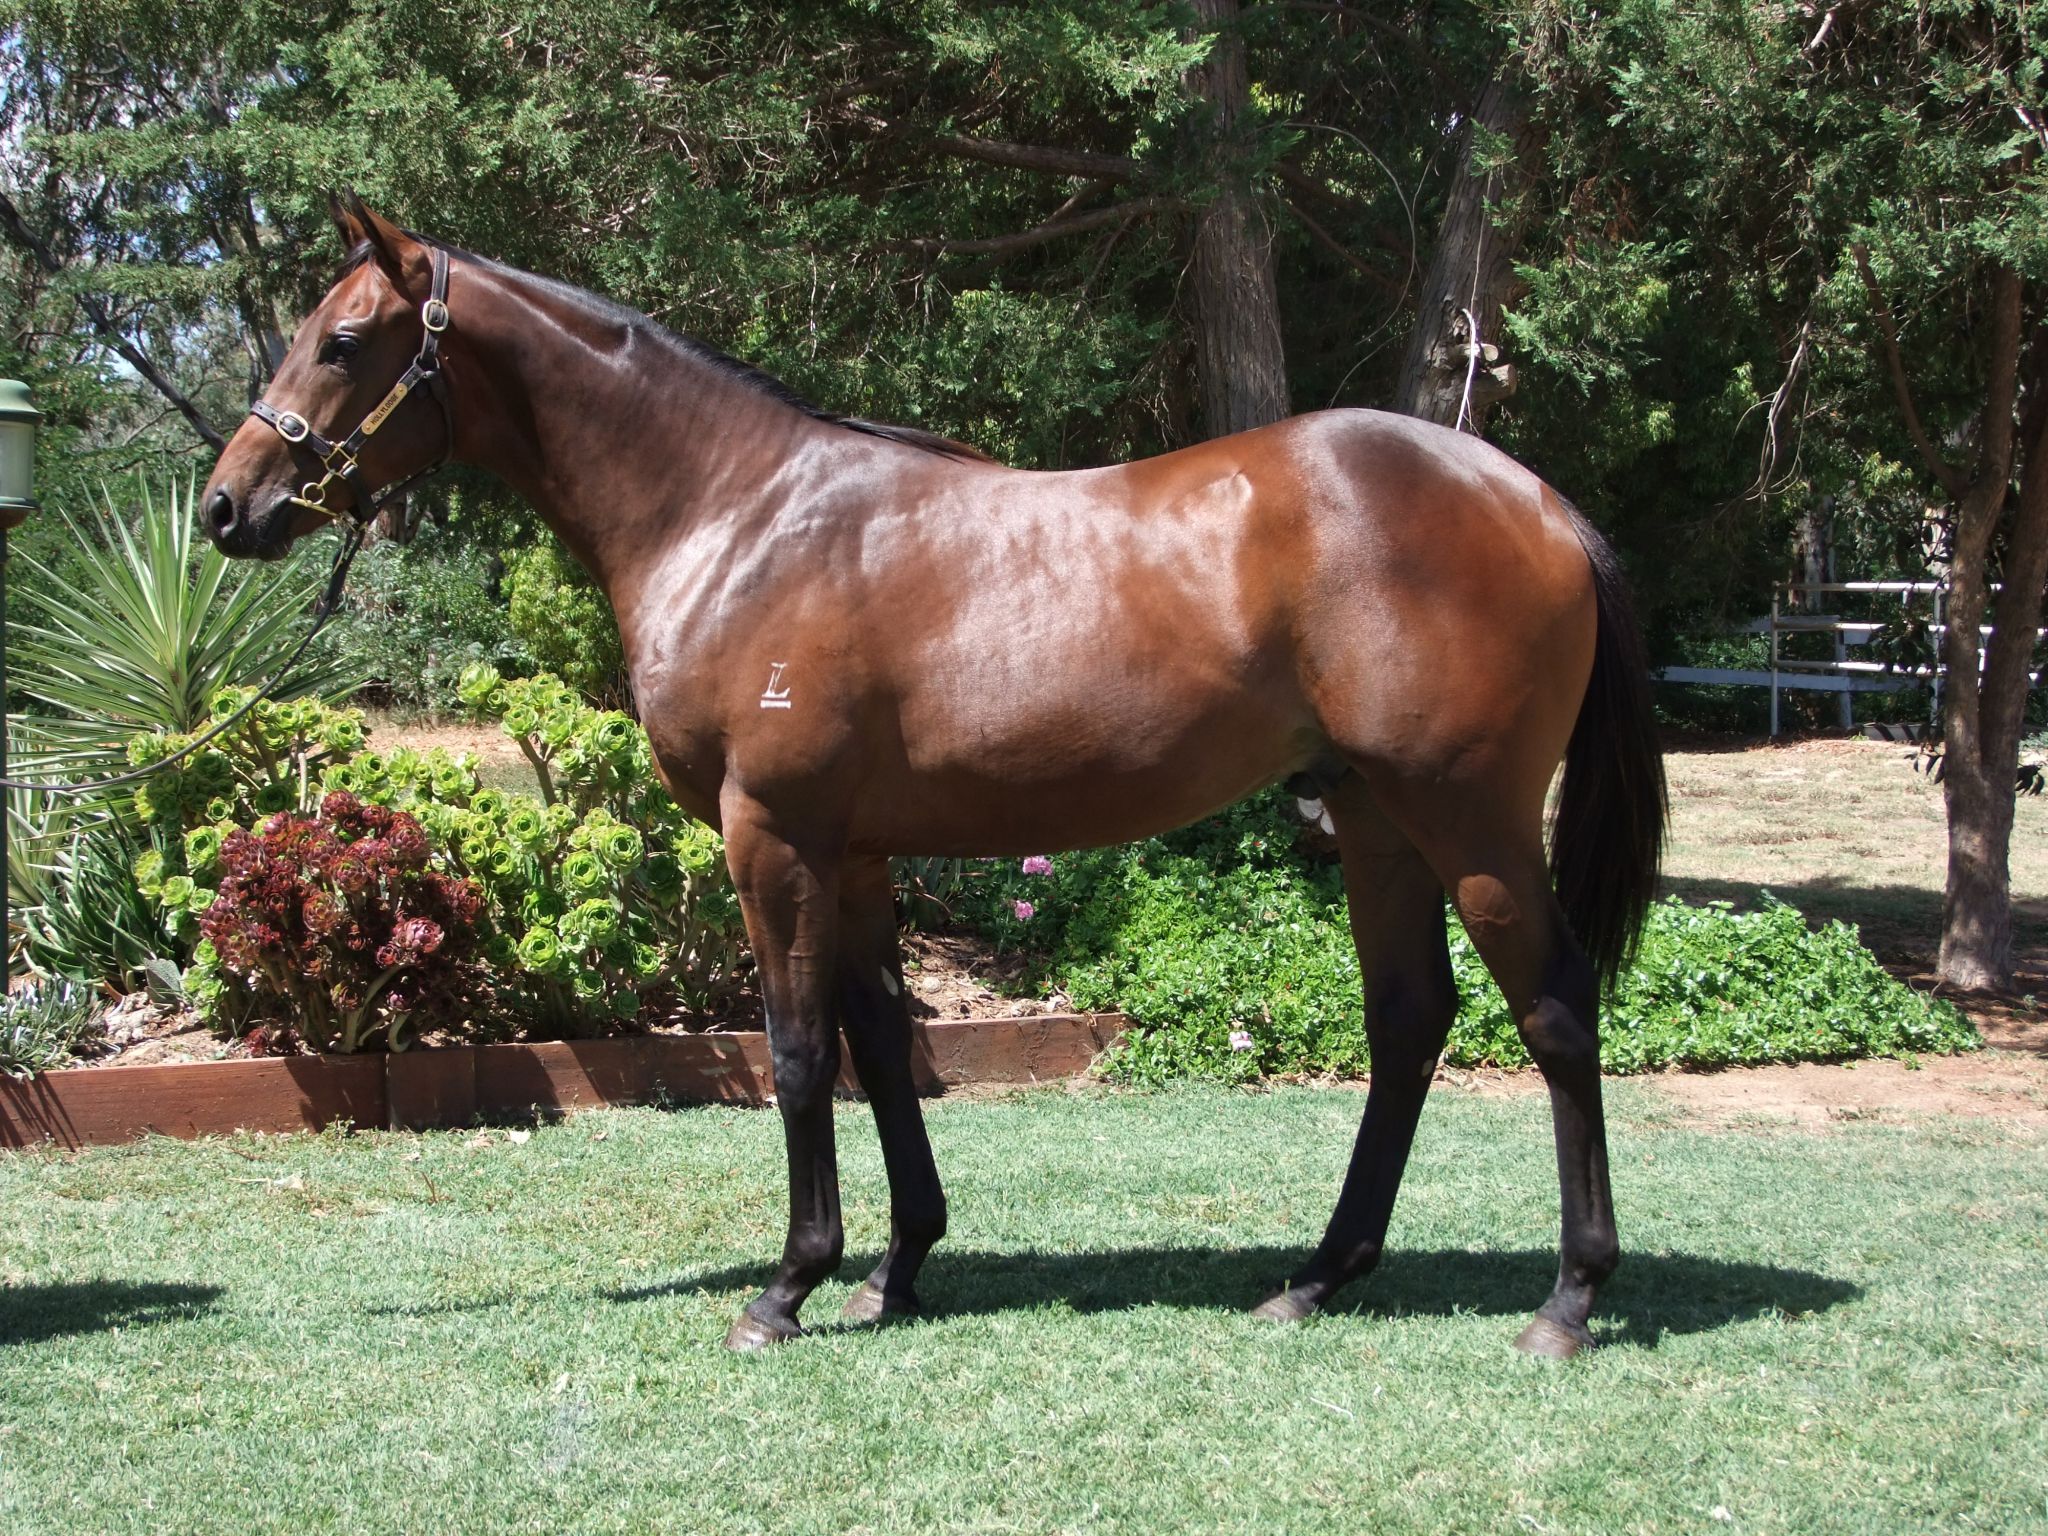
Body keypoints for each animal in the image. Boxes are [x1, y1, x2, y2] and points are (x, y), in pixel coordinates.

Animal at [203, 194, 1665, 1359]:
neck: (736, 512)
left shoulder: (772, 836)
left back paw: (1567, 1300)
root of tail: (1539, 502)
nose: (227, 504)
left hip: (1468, 818)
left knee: (1554, 1010)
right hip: (1374, 818)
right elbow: (882, 1044)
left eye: (344, 341)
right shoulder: (851, 853)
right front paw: (895, 1271)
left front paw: (785, 1290)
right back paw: (1315, 1278)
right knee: (1410, 1021)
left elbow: (798, 1051)